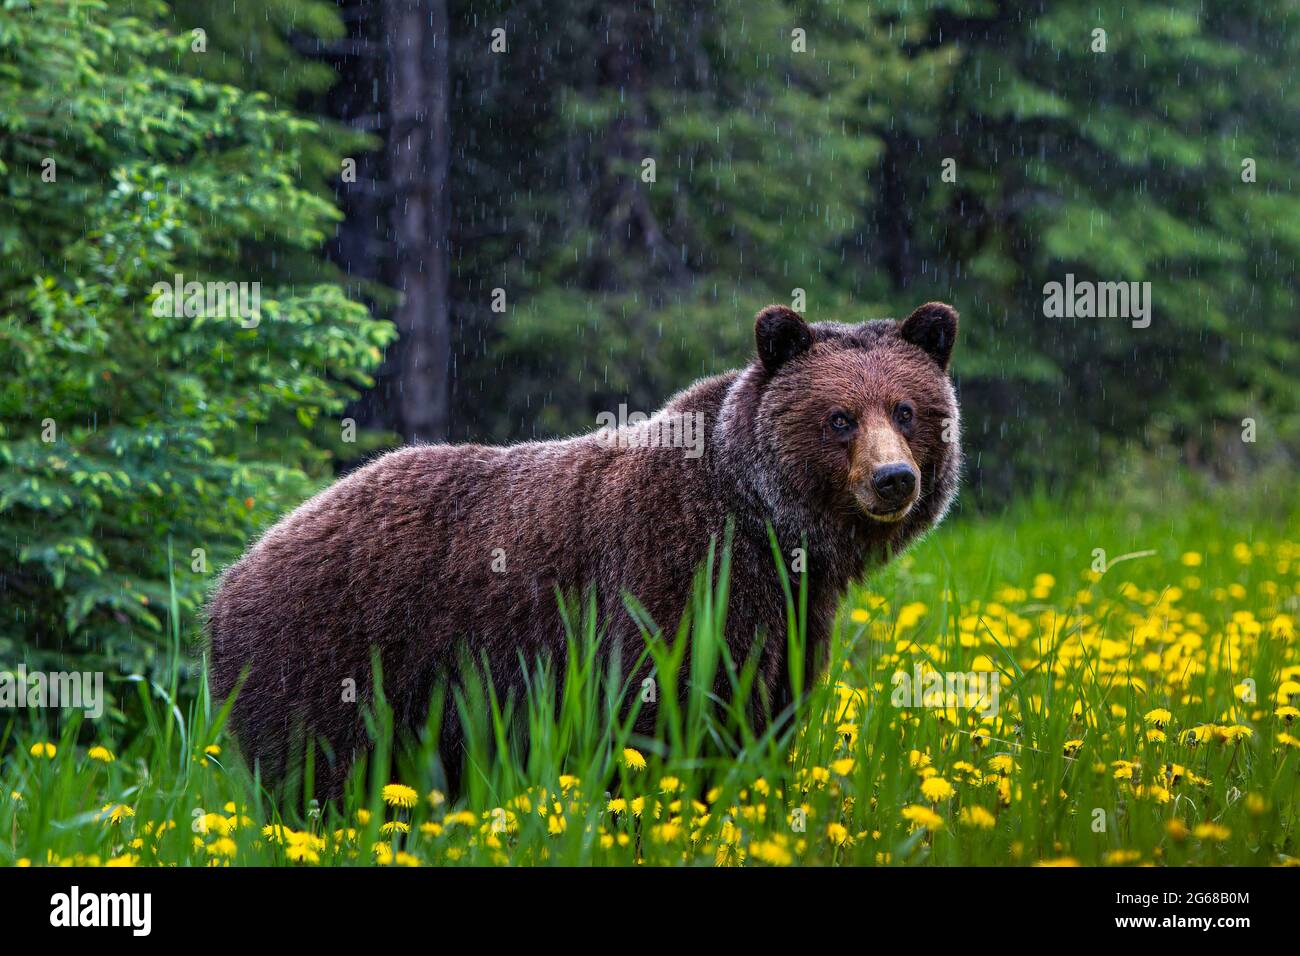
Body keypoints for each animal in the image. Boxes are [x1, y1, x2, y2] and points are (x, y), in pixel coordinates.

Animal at [206, 302, 961, 796]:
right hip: (334, 652)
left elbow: (764, 714)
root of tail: (237, 568)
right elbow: (659, 709)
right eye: (840, 418)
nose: (894, 478)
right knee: (316, 774)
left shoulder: (790, 613)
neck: (765, 525)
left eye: (906, 410)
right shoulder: (671, 577)